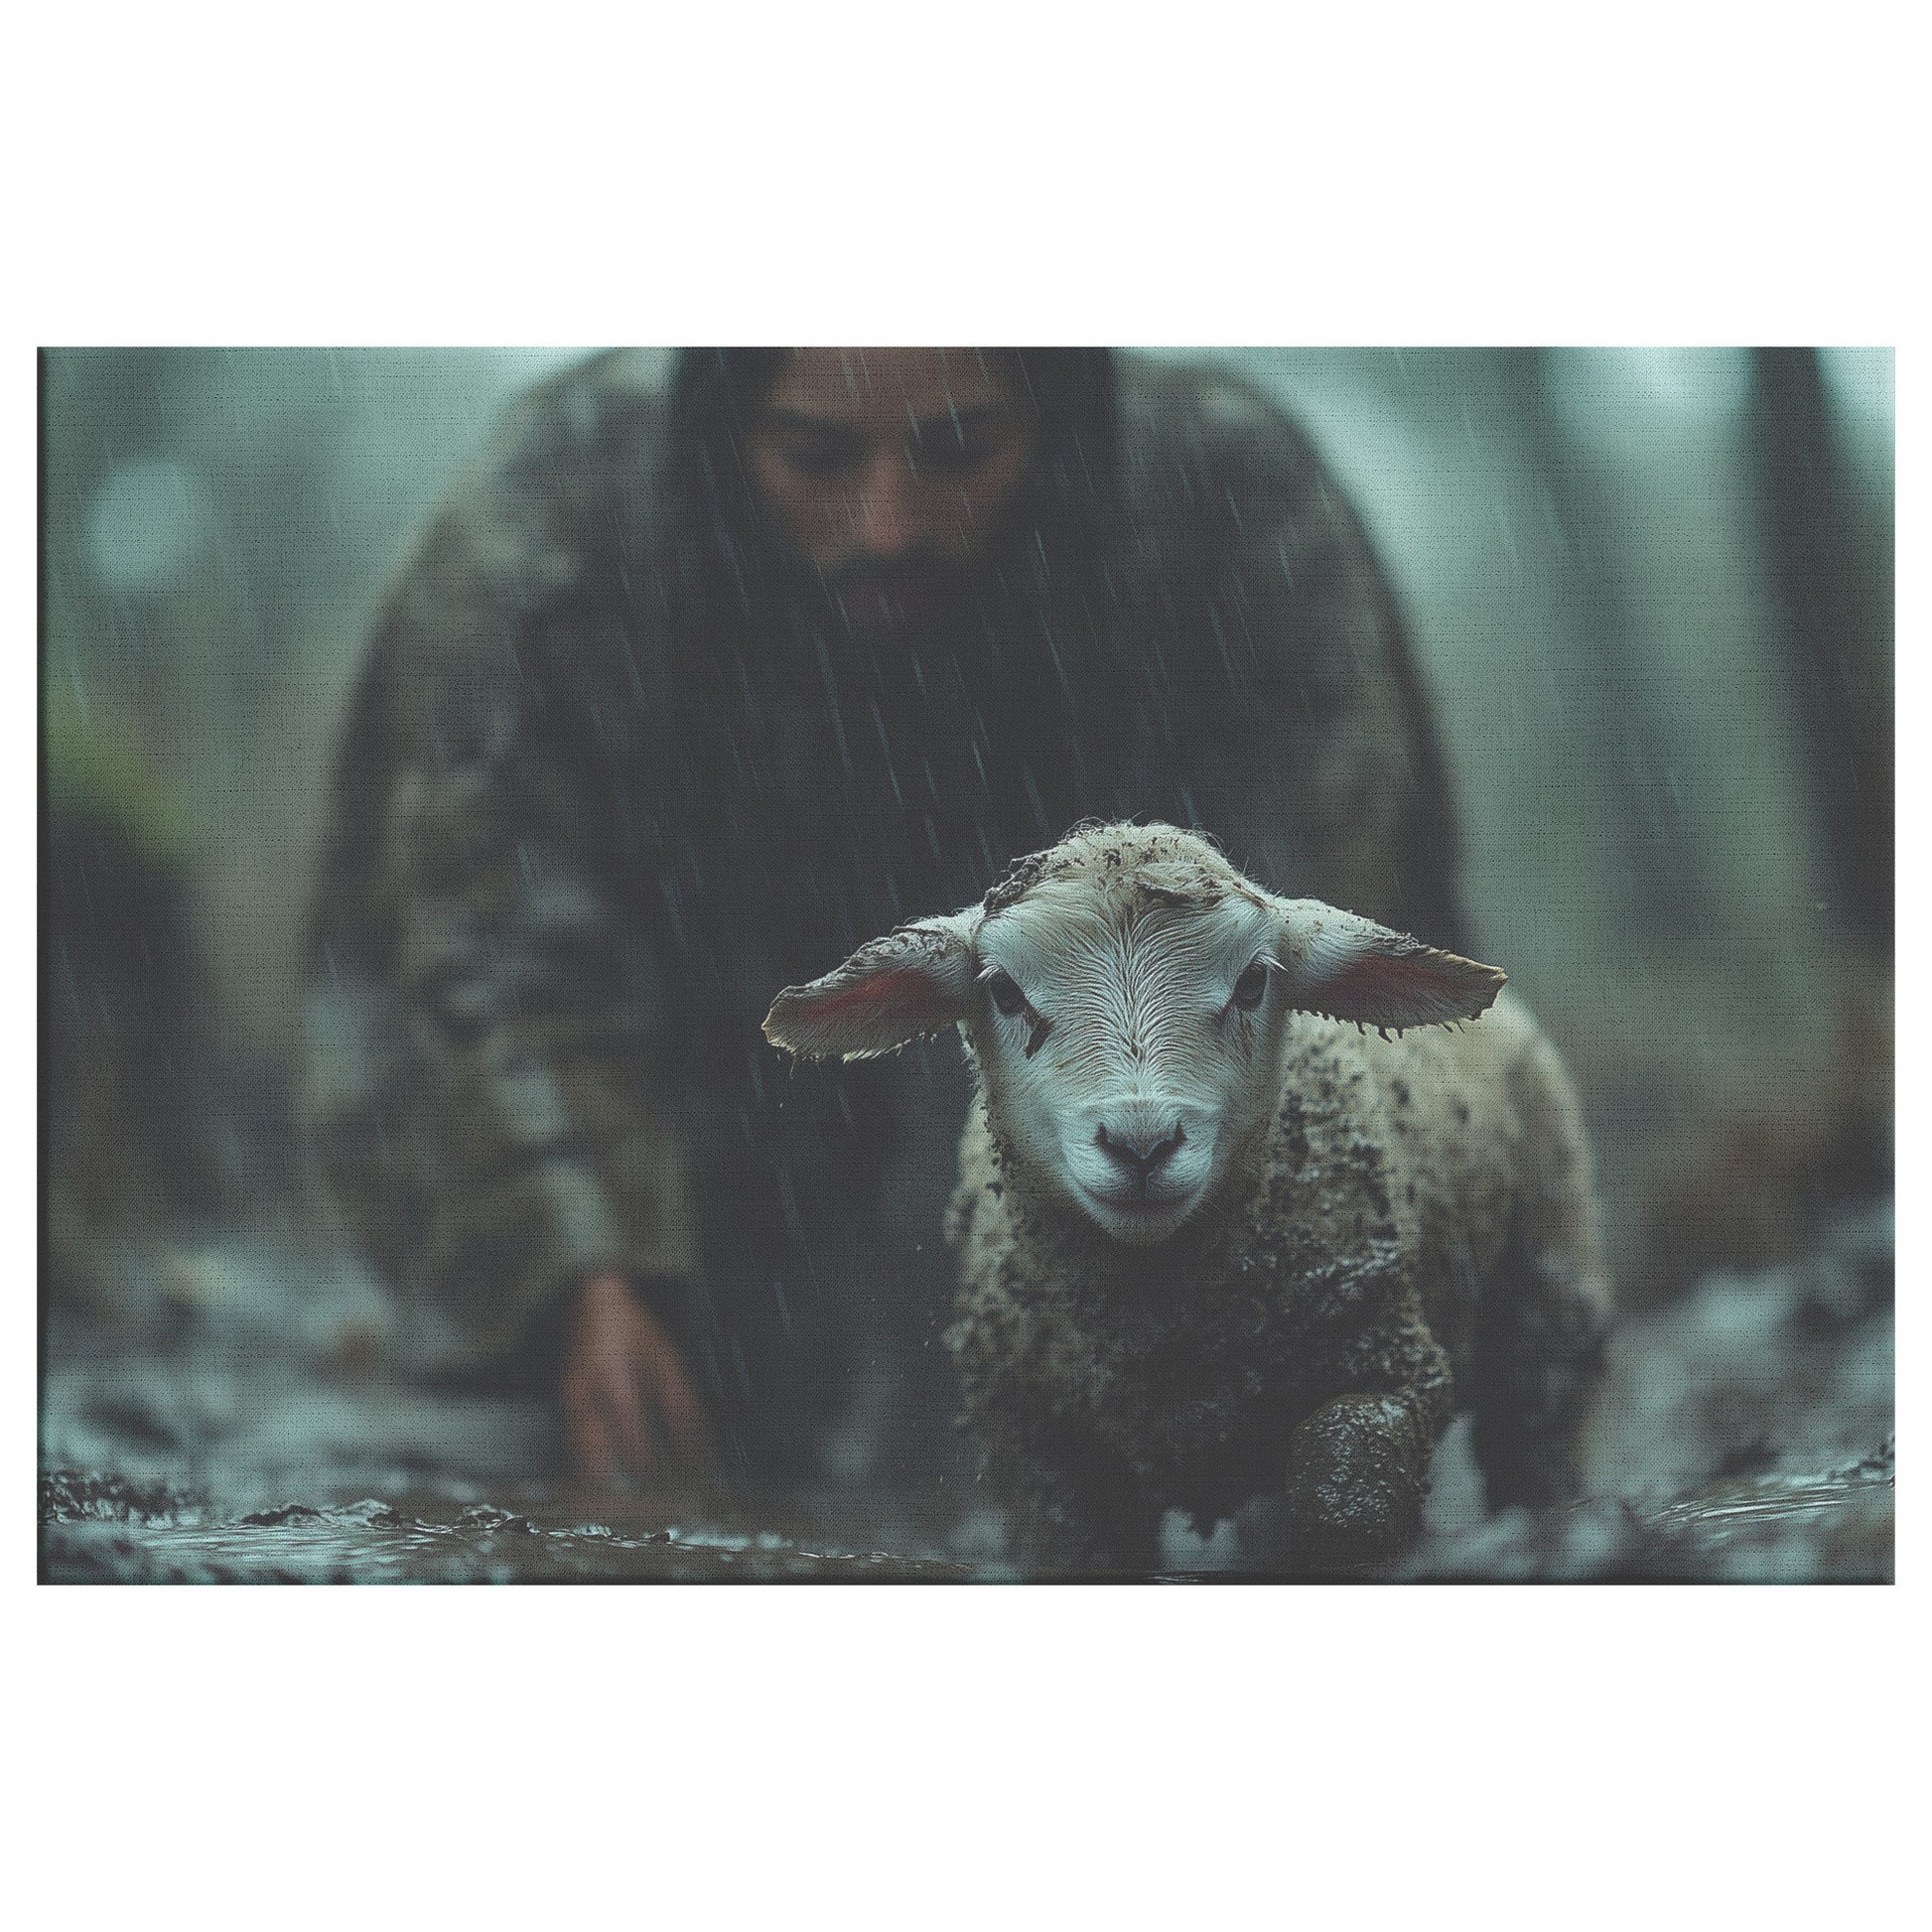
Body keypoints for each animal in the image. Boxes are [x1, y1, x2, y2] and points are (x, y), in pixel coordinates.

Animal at [763, 822, 1608, 1573]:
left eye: (1255, 982)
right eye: (1003, 991)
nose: (1141, 1145)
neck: (1159, 1322)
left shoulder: (1386, 1377)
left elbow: (1344, 1512)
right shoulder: (1038, 1447)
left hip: (1545, 1286)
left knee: (1539, 1426)